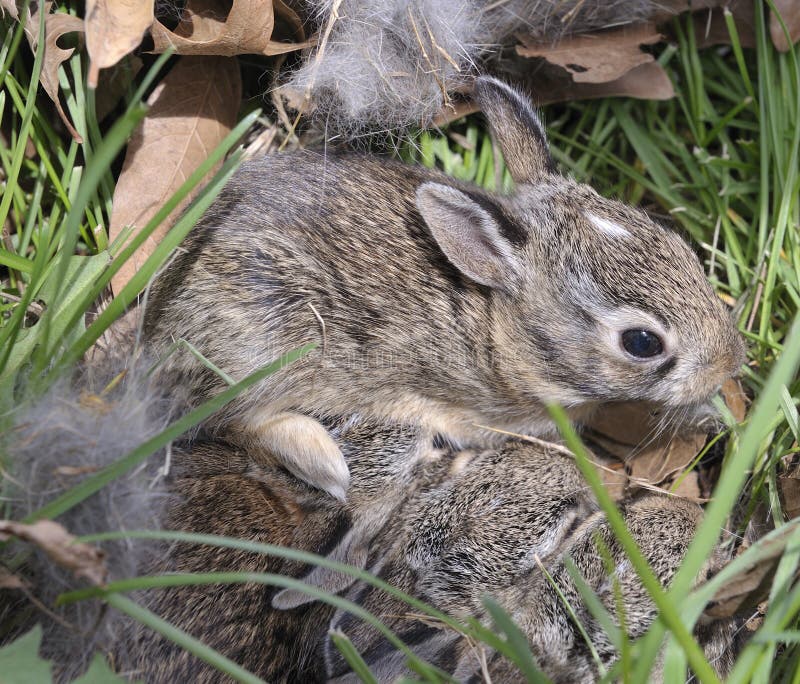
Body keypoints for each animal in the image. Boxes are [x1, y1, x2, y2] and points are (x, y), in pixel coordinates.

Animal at [142, 75, 746, 502]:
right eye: (642, 343)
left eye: (677, 244)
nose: (730, 362)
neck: (499, 330)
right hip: (262, 344)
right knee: (235, 420)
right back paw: (325, 463)